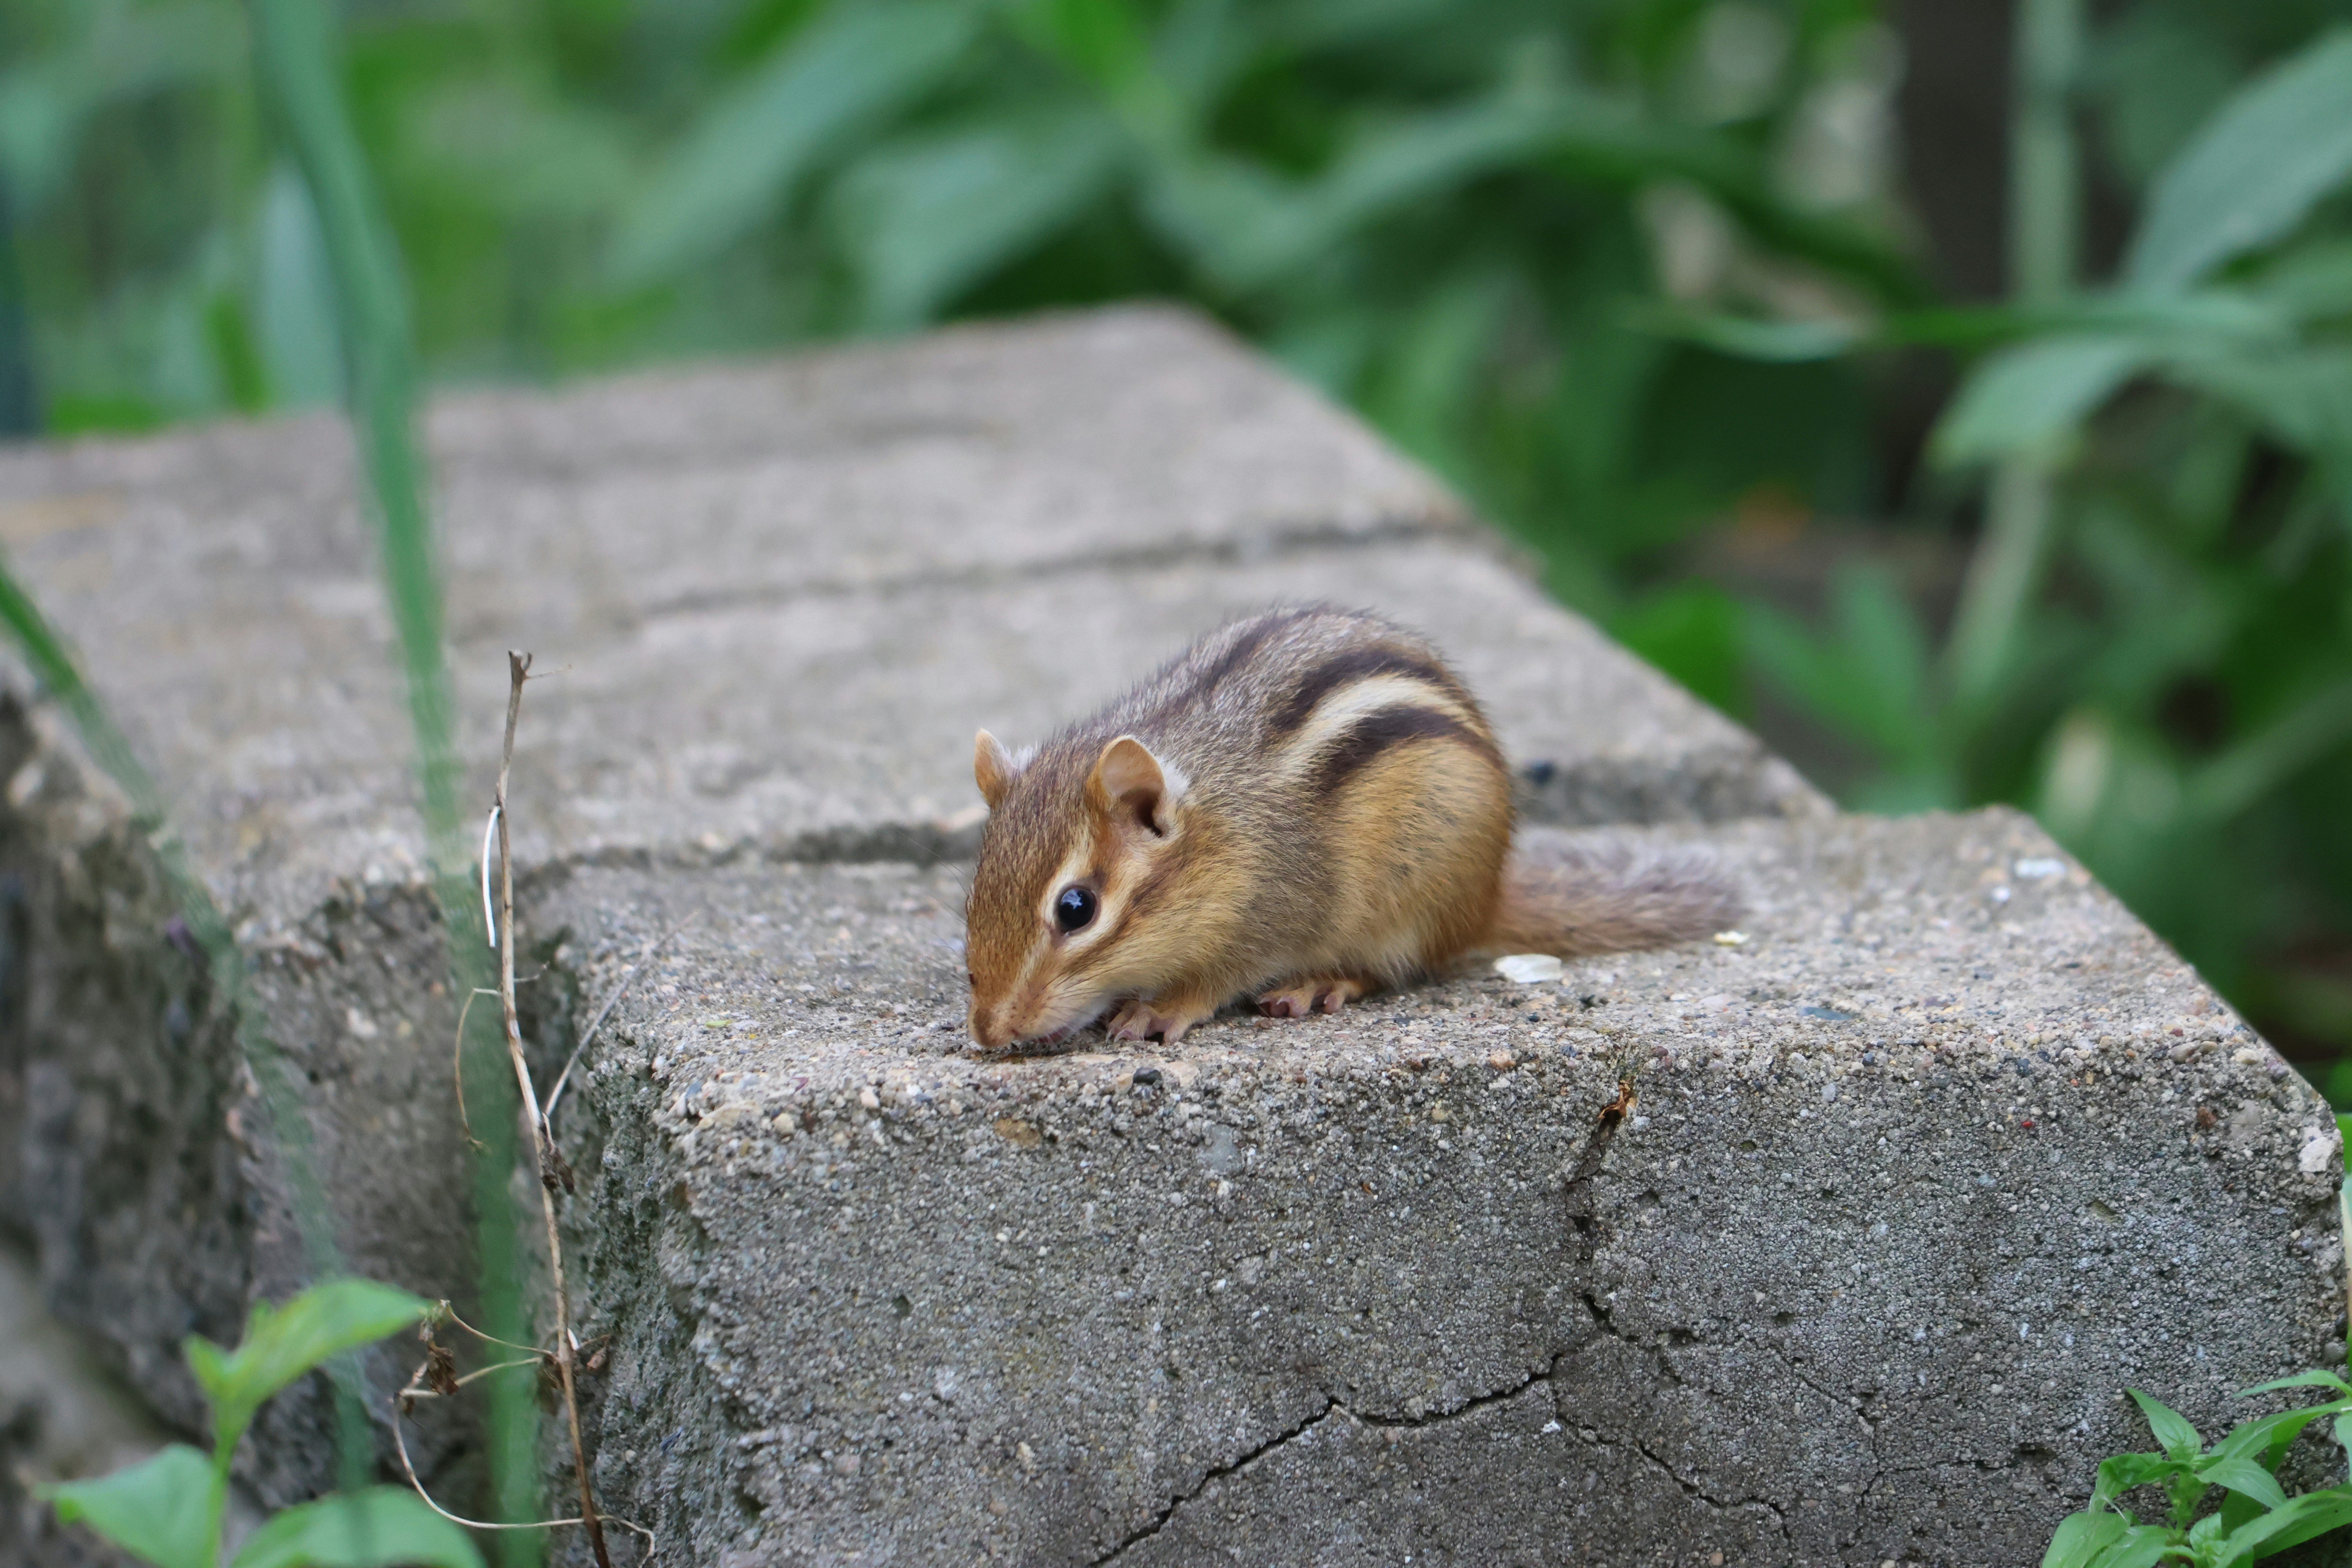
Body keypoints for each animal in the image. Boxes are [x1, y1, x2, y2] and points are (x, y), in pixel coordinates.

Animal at [962, 604, 1742, 1050]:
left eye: (1077, 908)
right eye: (971, 898)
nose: (989, 1032)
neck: (1221, 829)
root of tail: (1486, 897)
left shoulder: (1273, 912)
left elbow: (1217, 978)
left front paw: (1161, 1008)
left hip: (1400, 902)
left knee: (1390, 968)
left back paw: (1318, 984)